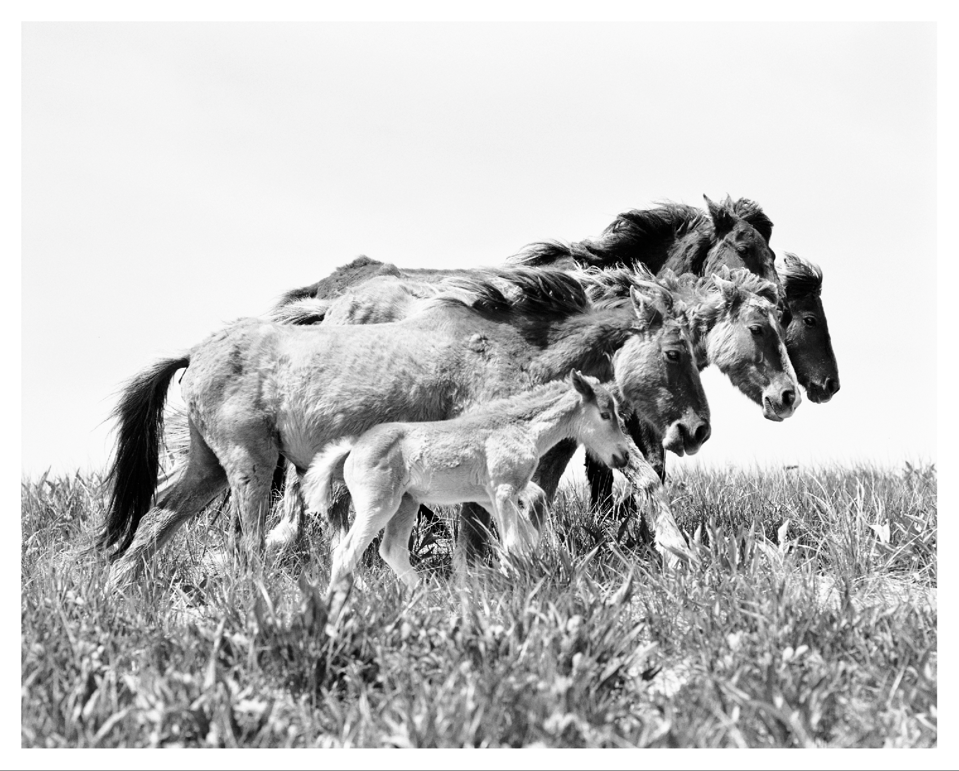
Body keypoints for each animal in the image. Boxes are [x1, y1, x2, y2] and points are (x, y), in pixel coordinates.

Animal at [102, 269, 710, 585]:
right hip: (251, 464)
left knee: (156, 517)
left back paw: (117, 585)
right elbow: (482, 525)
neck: (511, 344)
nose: (696, 430)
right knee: (246, 538)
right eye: (675, 351)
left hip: (208, 467)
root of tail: (195, 352)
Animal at [303, 371, 630, 619]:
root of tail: (353, 448)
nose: (623, 455)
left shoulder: (492, 496)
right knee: (347, 552)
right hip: (378, 506)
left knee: (391, 550)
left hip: (406, 504)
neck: (520, 427)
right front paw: (515, 589)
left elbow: (526, 532)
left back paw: (427, 602)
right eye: (604, 414)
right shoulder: (503, 490)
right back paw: (334, 610)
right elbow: (513, 542)